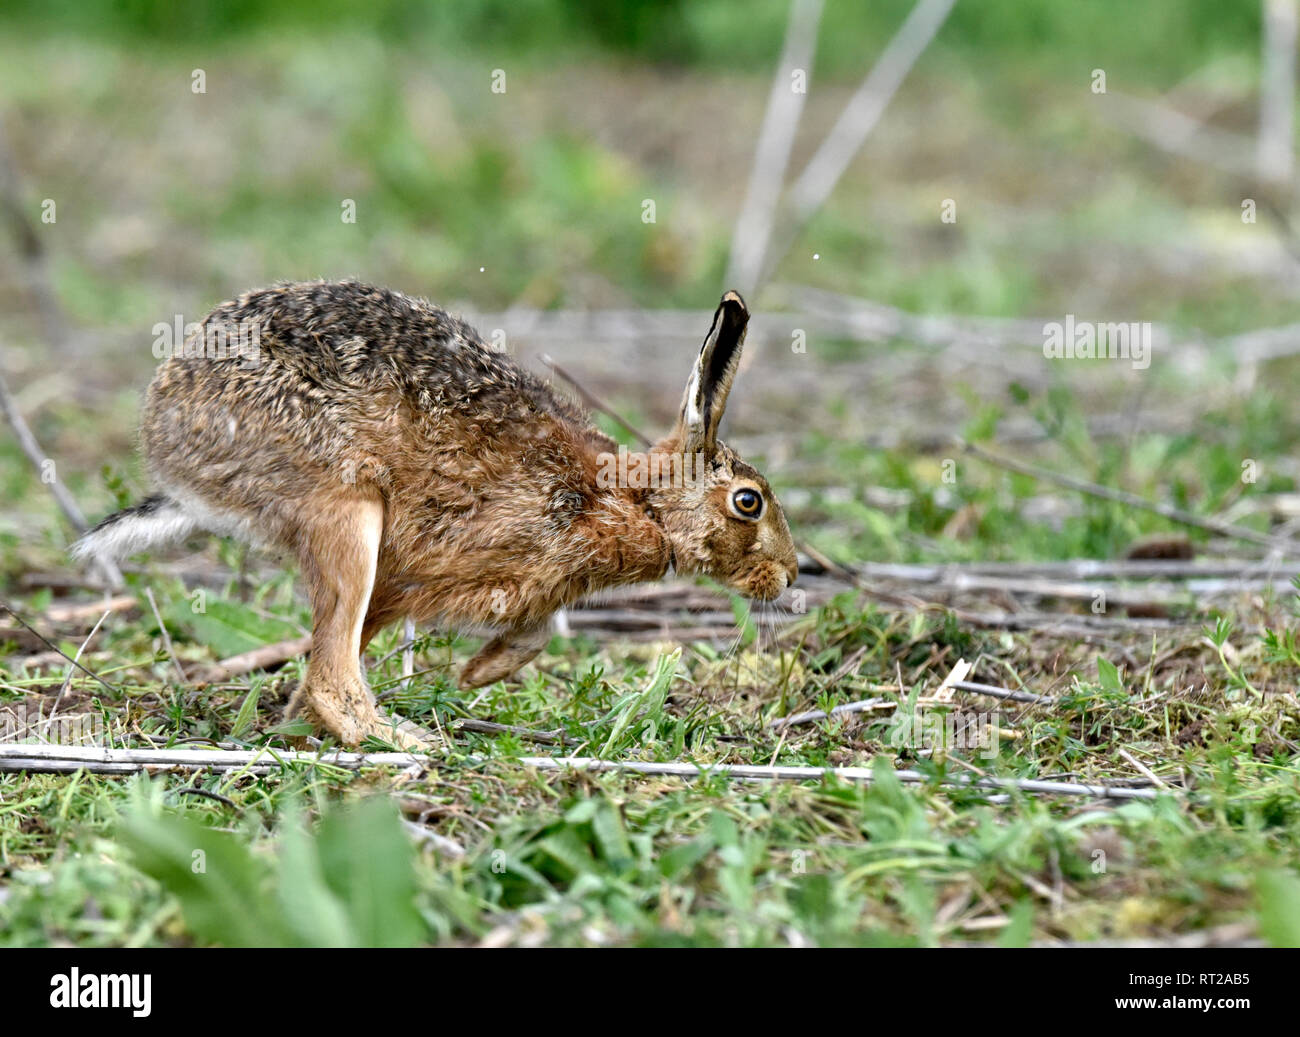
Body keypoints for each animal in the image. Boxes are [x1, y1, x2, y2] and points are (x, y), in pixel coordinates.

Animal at [73, 280, 798, 748]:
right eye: (749, 501)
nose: (790, 575)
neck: (639, 500)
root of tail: (166, 430)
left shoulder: (420, 590)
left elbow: (533, 632)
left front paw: (474, 673)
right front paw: (470, 678)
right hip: (347, 515)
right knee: (334, 674)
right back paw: (411, 746)